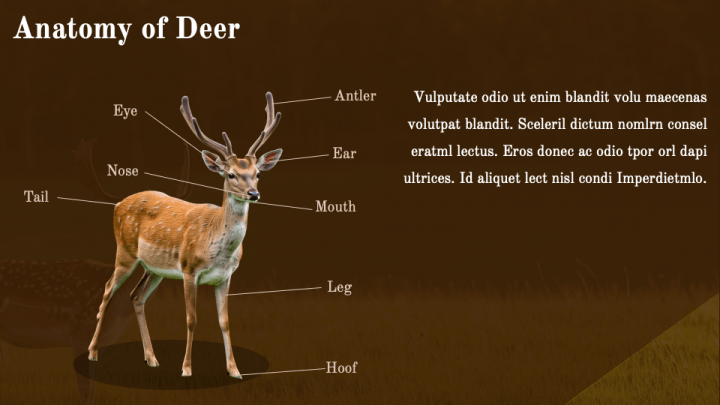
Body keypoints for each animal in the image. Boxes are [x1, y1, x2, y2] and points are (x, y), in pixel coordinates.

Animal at [88, 92, 284, 379]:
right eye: (231, 174)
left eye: (257, 174)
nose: (254, 194)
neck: (218, 247)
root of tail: (117, 204)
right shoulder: (189, 269)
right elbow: (192, 320)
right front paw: (187, 368)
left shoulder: (225, 277)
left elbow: (225, 322)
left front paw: (234, 370)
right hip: (124, 253)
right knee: (106, 291)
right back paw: (92, 352)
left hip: (154, 269)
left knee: (136, 296)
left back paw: (151, 358)